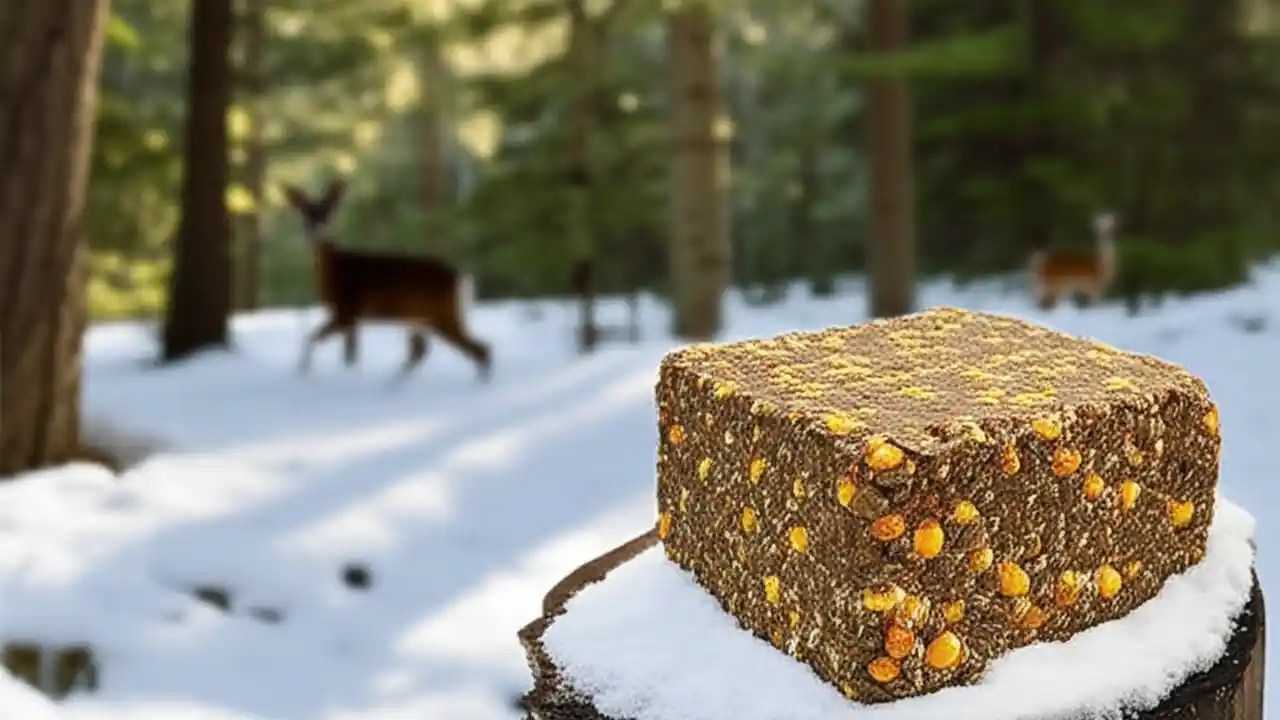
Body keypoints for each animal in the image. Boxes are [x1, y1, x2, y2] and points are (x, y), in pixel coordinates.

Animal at [284, 180, 491, 382]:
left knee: (480, 349)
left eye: (327, 213)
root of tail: (462, 276)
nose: (318, 232)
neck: (336, 269)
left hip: (443, 312)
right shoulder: (351, 316)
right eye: (306, 215)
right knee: (421, 350)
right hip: (421, 317)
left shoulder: (347, 310)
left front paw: (303, 370)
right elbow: (348, 354)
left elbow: (313, 339)